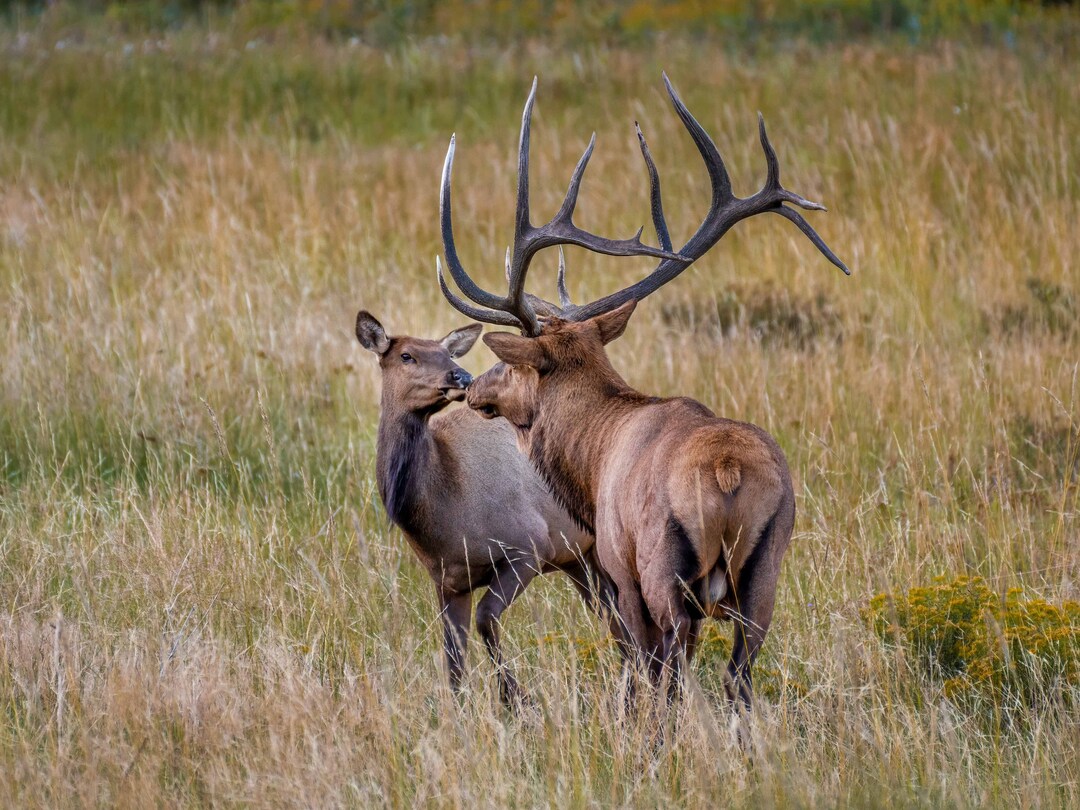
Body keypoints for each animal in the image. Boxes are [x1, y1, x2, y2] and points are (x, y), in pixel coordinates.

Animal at [355, 311, 622, 705]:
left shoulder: (529, 547)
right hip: (579, 557)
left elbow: (486, 619)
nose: (461, 377)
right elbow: (453, 658)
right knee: (613, 614)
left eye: (447, 353)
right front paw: (460, 709)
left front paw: (517, 698)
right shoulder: (448, 580)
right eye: (406, 355)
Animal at [437, 75, 850, 708]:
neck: (591, 458)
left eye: (509, 363)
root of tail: (728, 473)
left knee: (671, 670)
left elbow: (639, 666)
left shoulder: (615, 563)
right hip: (766, 573)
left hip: (663, 570)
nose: (471, 387)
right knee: (738, 677)